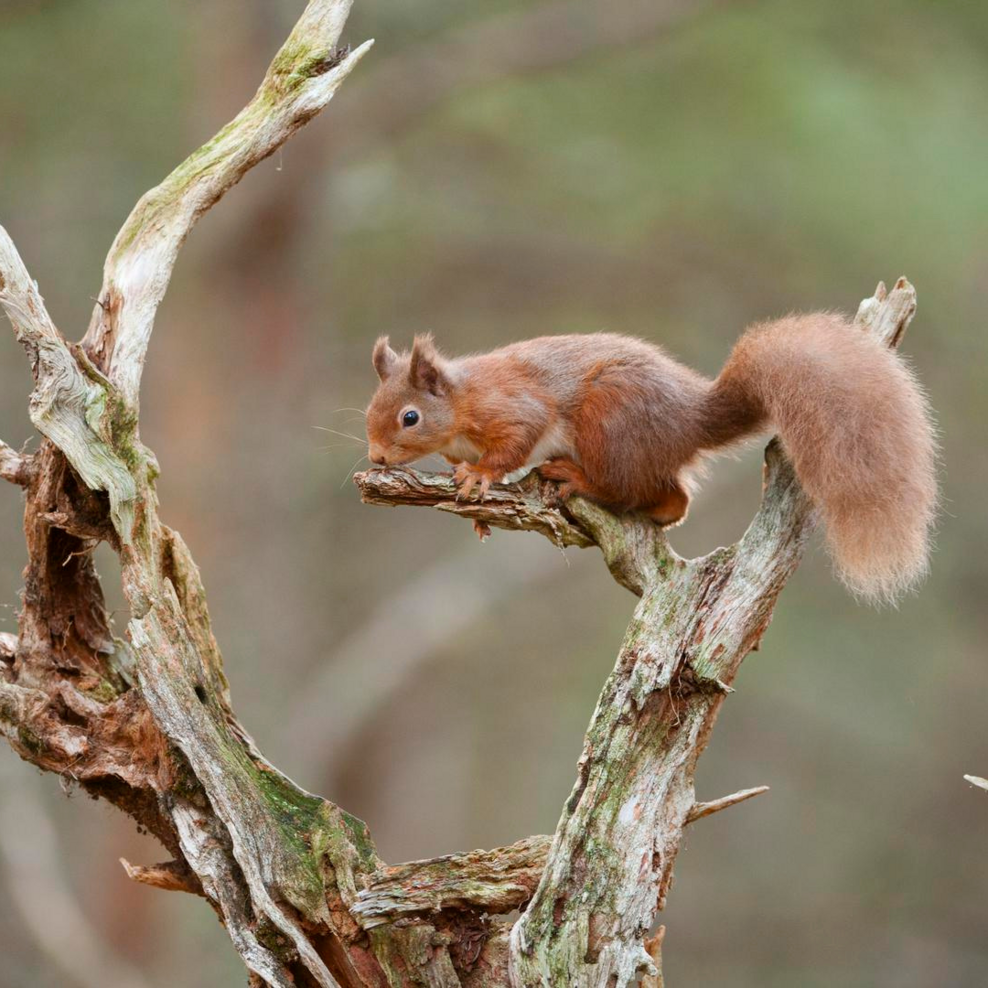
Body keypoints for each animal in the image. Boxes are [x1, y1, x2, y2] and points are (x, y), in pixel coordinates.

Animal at [365, 314, 937, 602]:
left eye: (410, 417)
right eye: (371, 408)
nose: (376, 457)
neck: (462, 401)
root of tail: (690, 419)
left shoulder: (513, 409)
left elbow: (513, 443)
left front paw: (480, 476)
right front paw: (479, 520)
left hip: (608, 420)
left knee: (622, 487)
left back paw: (574, 479)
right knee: (673, 496)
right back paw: (656, 510)